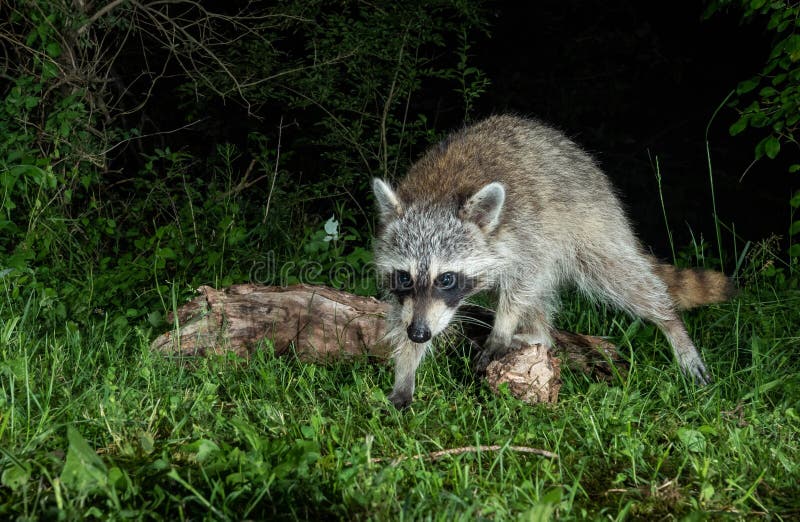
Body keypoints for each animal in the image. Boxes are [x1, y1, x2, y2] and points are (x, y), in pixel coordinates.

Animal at [372, 114, 735, 409]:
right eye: (405, 277)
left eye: (446, 278)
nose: (420, 333)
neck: (435, 198)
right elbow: (402, 315)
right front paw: (405, 372)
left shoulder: (525, 233)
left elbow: (522, 283)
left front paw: (502, 328)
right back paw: (540, 333)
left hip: (588, 222)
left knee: (614, 275)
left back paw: (669, 322)